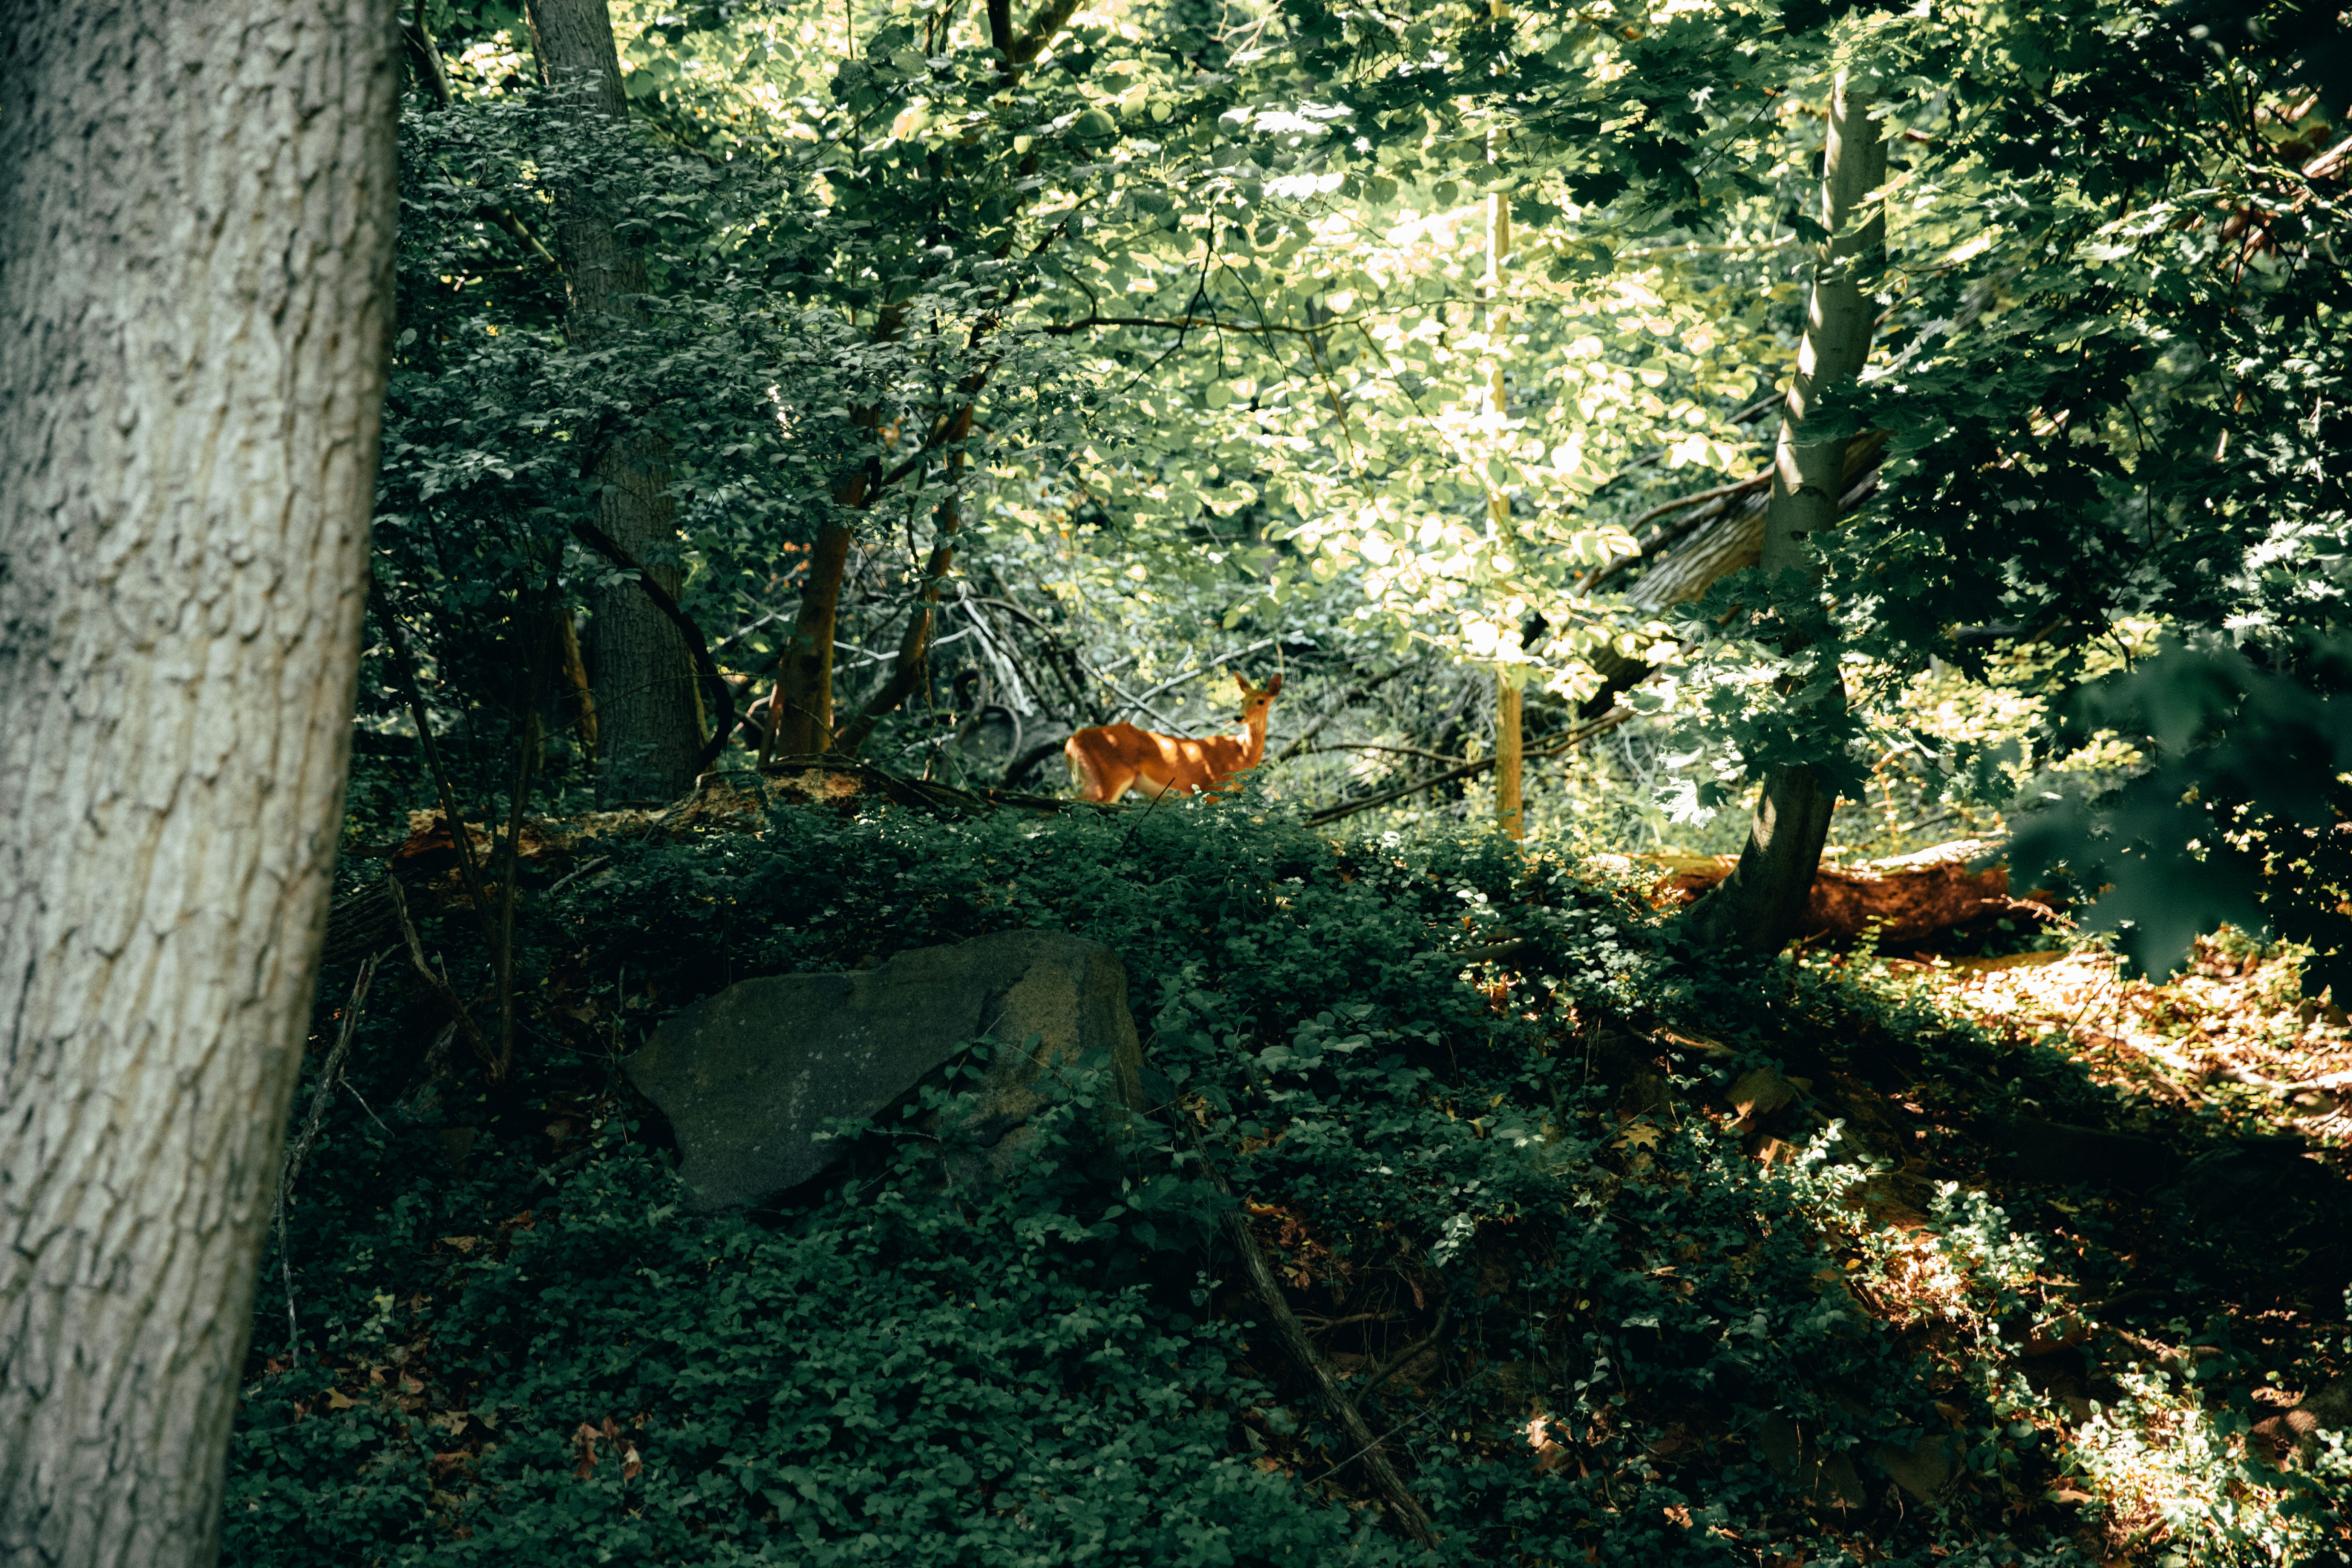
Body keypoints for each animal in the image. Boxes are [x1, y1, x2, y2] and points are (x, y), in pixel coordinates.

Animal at [1064, 672, 1283, 804]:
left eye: (1261, 701)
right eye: (1242, 700)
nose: (1239, 717)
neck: (1242, 753)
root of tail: (1072, 742)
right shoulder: (1212, 787)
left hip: (1090, 776)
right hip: (1110, 775)